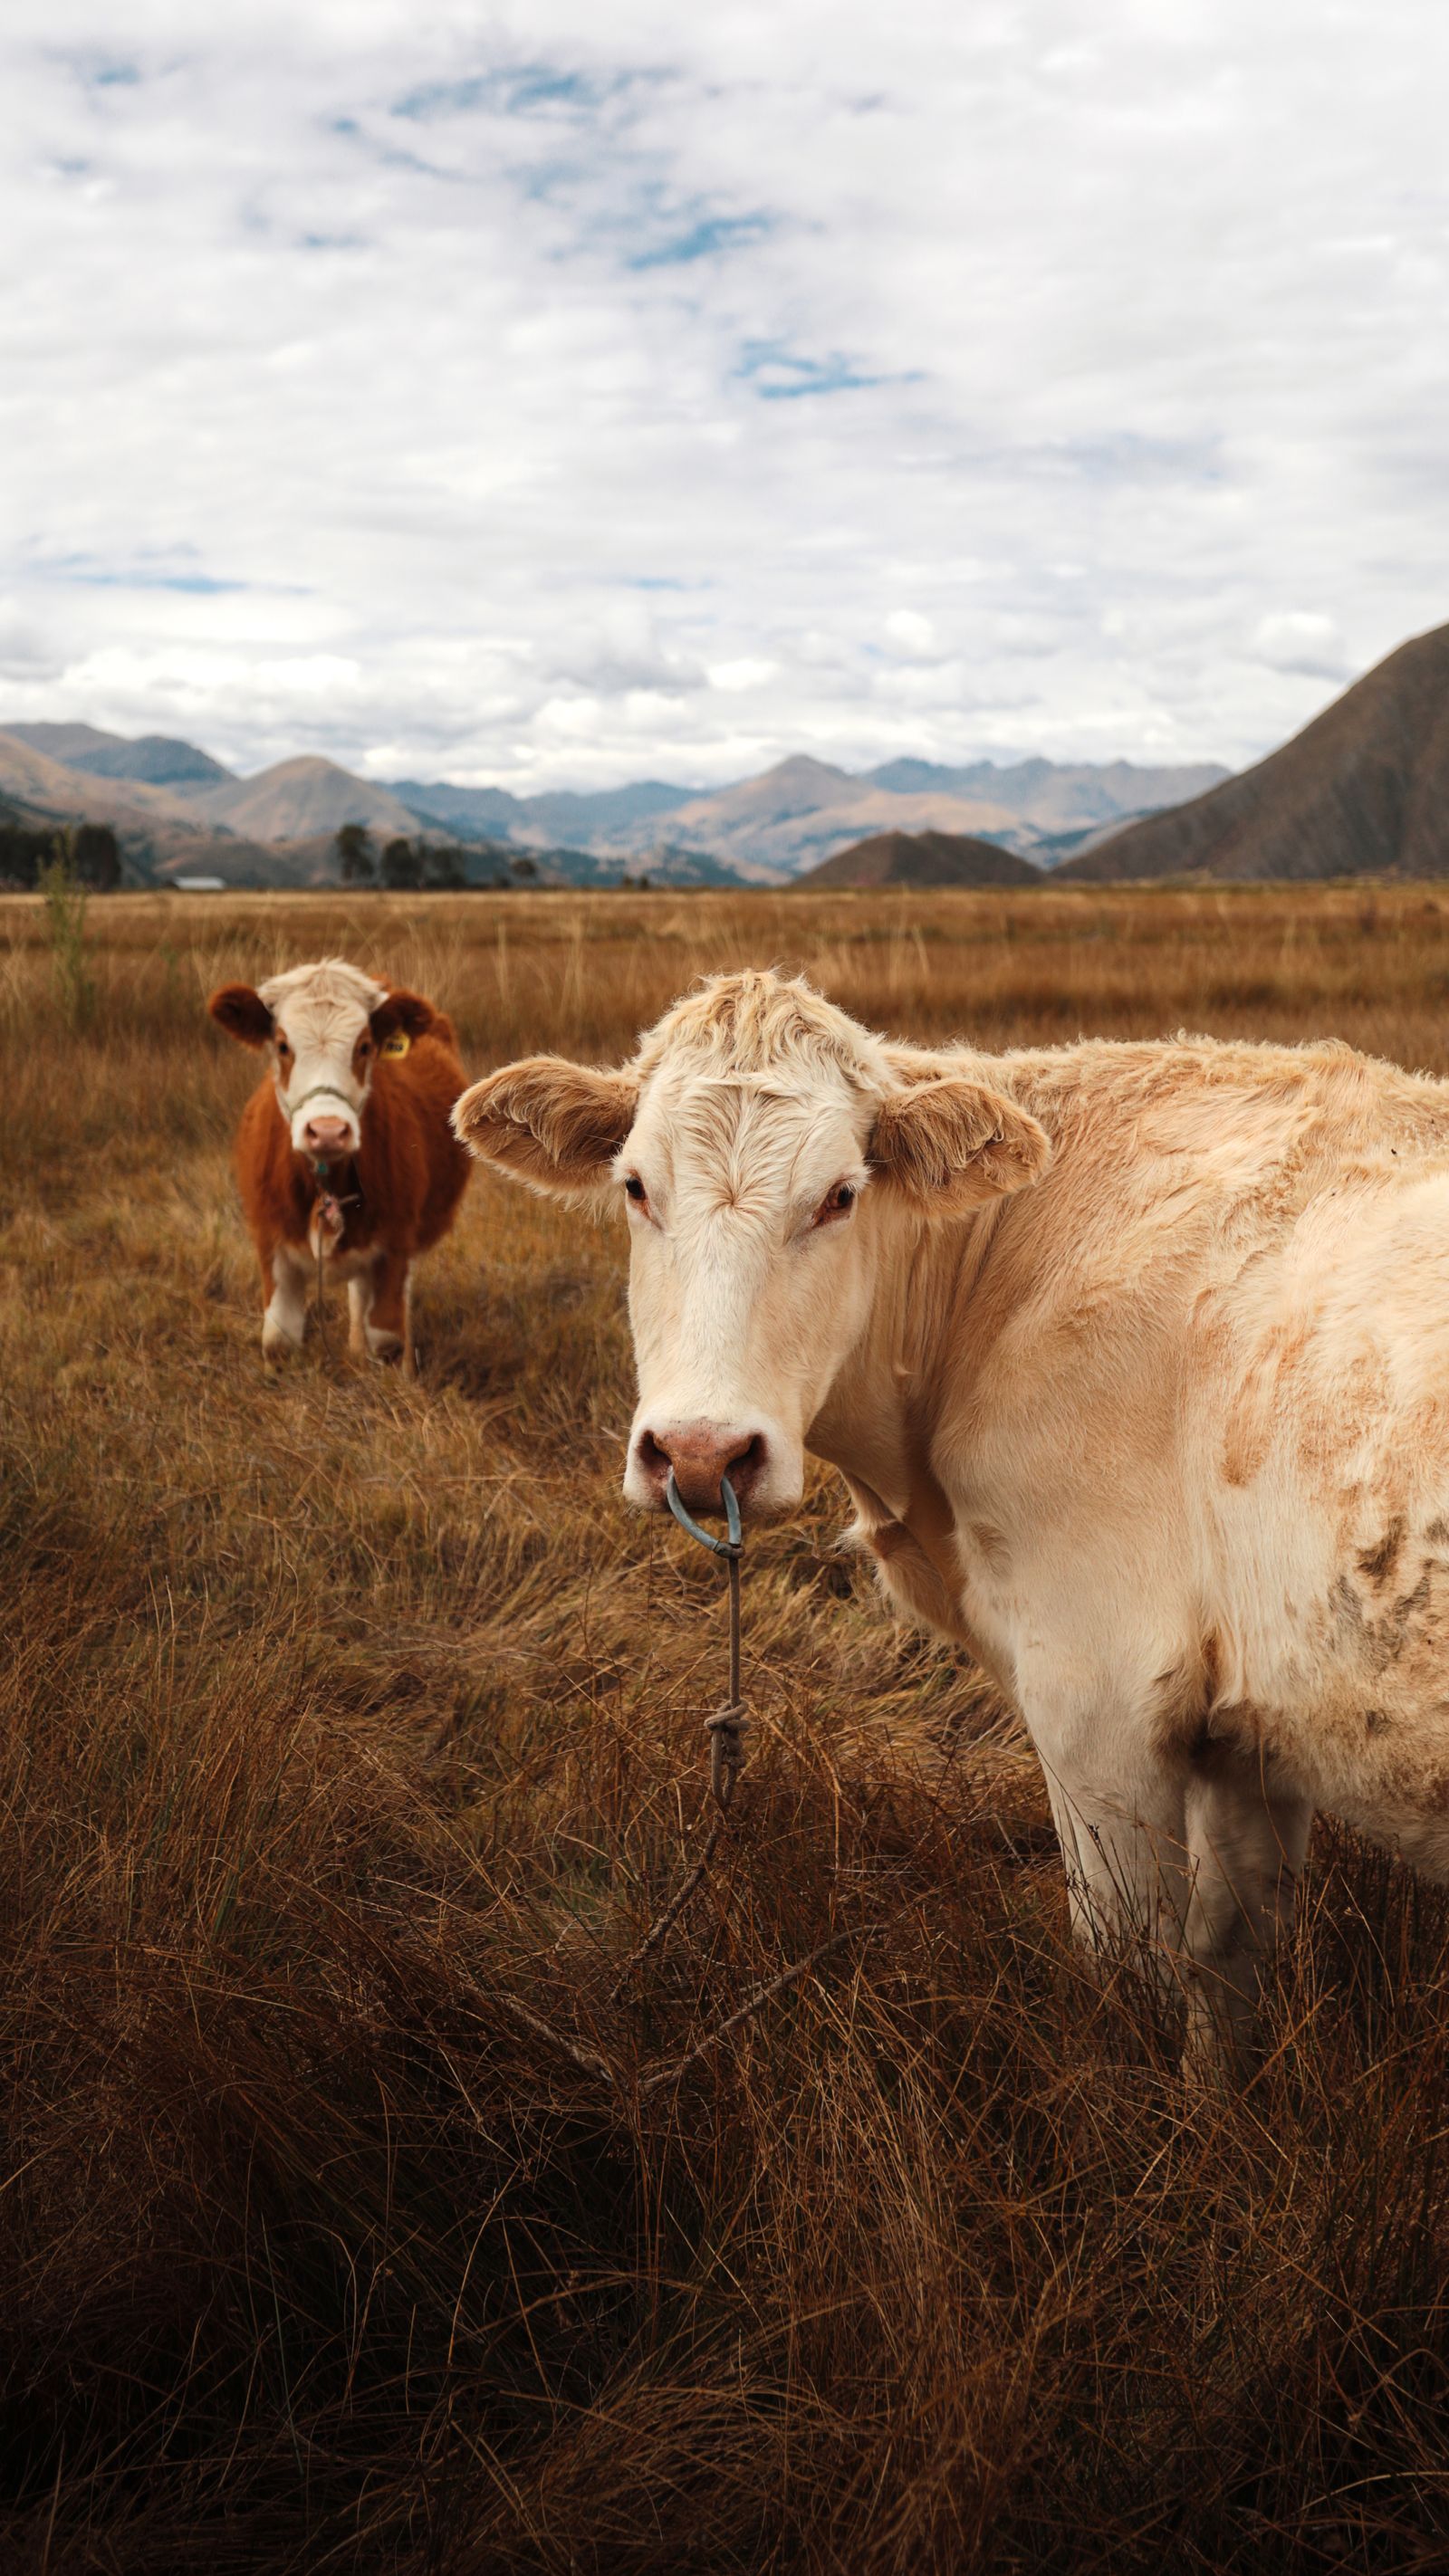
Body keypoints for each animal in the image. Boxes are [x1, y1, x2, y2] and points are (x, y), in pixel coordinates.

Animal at [208, 957, 470, 1370]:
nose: (328, 1131)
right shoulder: (271, 1241)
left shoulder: (395, 1243)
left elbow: (387, 1337)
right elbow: (279, 1339)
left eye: (364, 1047)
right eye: (282, 1046)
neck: (325, 1180)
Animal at [451, 965, 1449, 2072]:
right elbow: (1226, 1967)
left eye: (839, 1195)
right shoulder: (1248, 1730)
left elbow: (1128, 1973)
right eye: (634, 1187)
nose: (702, 1452)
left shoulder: (1099, 1697)